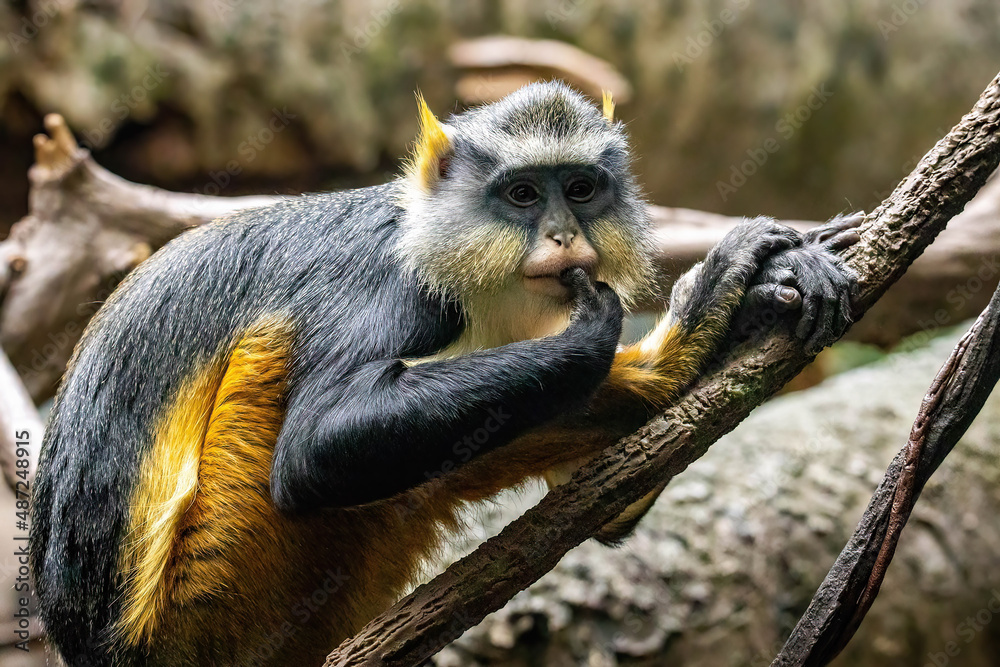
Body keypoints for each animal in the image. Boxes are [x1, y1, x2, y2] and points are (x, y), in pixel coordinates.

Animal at [29, 81, 860, 666]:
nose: (566, 236)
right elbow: (316, 446)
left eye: (580, 189)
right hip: (210, 590)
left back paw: (683, 351)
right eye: (523, 194)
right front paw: (613, 326)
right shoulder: (388, 285)